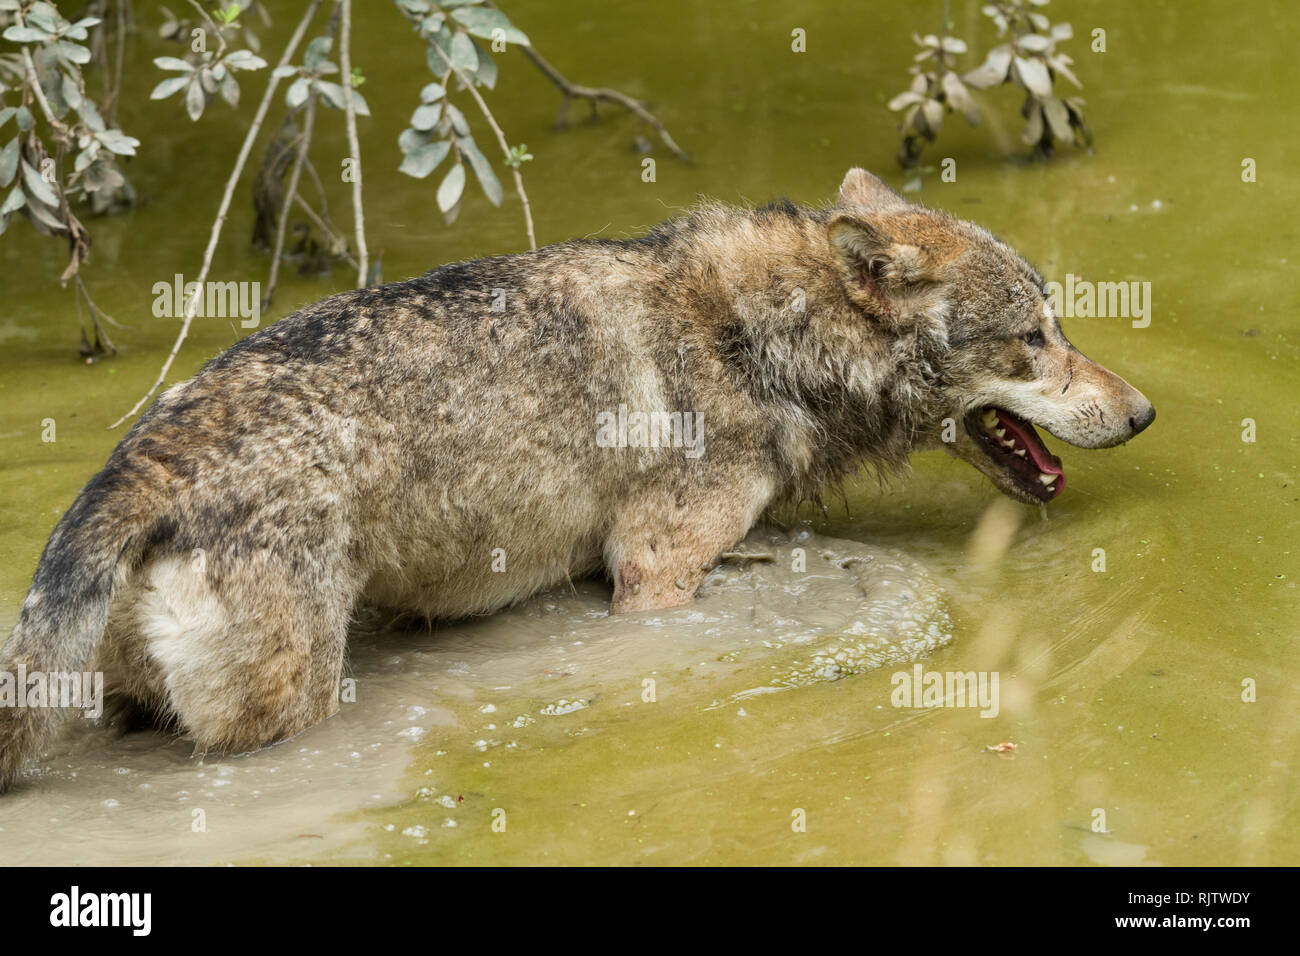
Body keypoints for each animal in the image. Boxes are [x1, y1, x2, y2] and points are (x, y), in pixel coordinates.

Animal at [0, 169, 1154, 790]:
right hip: (286, 706)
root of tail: (148, 454)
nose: (1144, 412)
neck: (766, 337)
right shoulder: (653, 580)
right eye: (1034, 338)